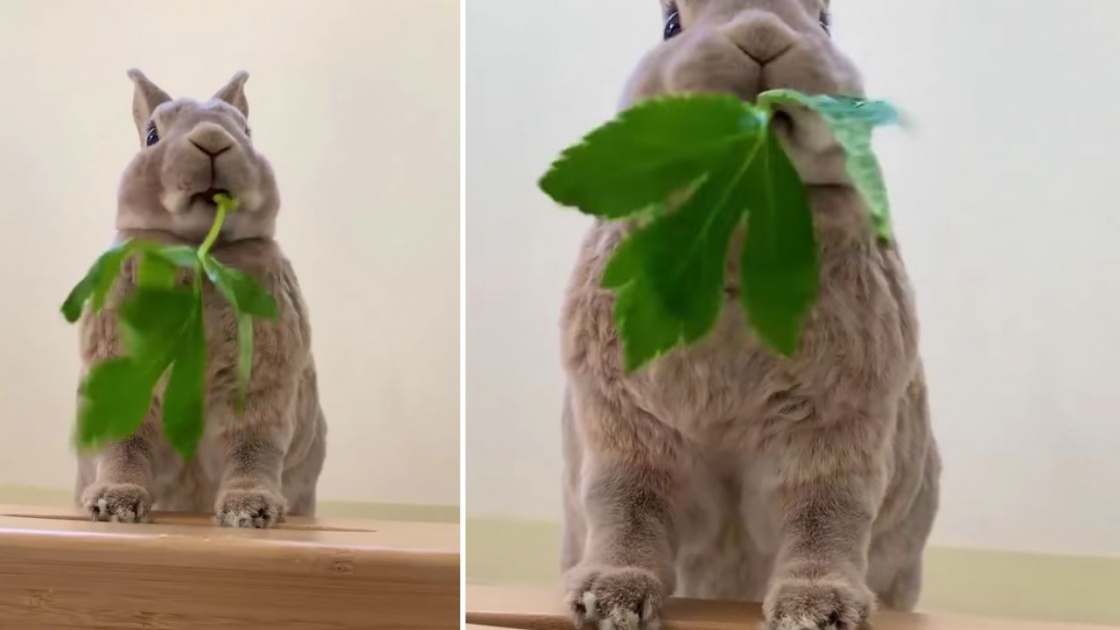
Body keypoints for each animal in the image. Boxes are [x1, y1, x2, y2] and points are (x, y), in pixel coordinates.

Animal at [73, 69, 327, 528]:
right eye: (152, 134)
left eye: (247, 132)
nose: (212, 139)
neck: (198, 250)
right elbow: (126, 444)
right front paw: (115, 503)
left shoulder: (260, 388)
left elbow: (253, 448)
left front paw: (250, 509)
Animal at [559, 1, 941, 629]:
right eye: (670, 23)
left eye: (826, 21)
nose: (761, 35)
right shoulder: (628, 430)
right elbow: (626, 507)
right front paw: (609, 599)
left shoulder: (835, 436)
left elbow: (825, 517)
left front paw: (817, 609)